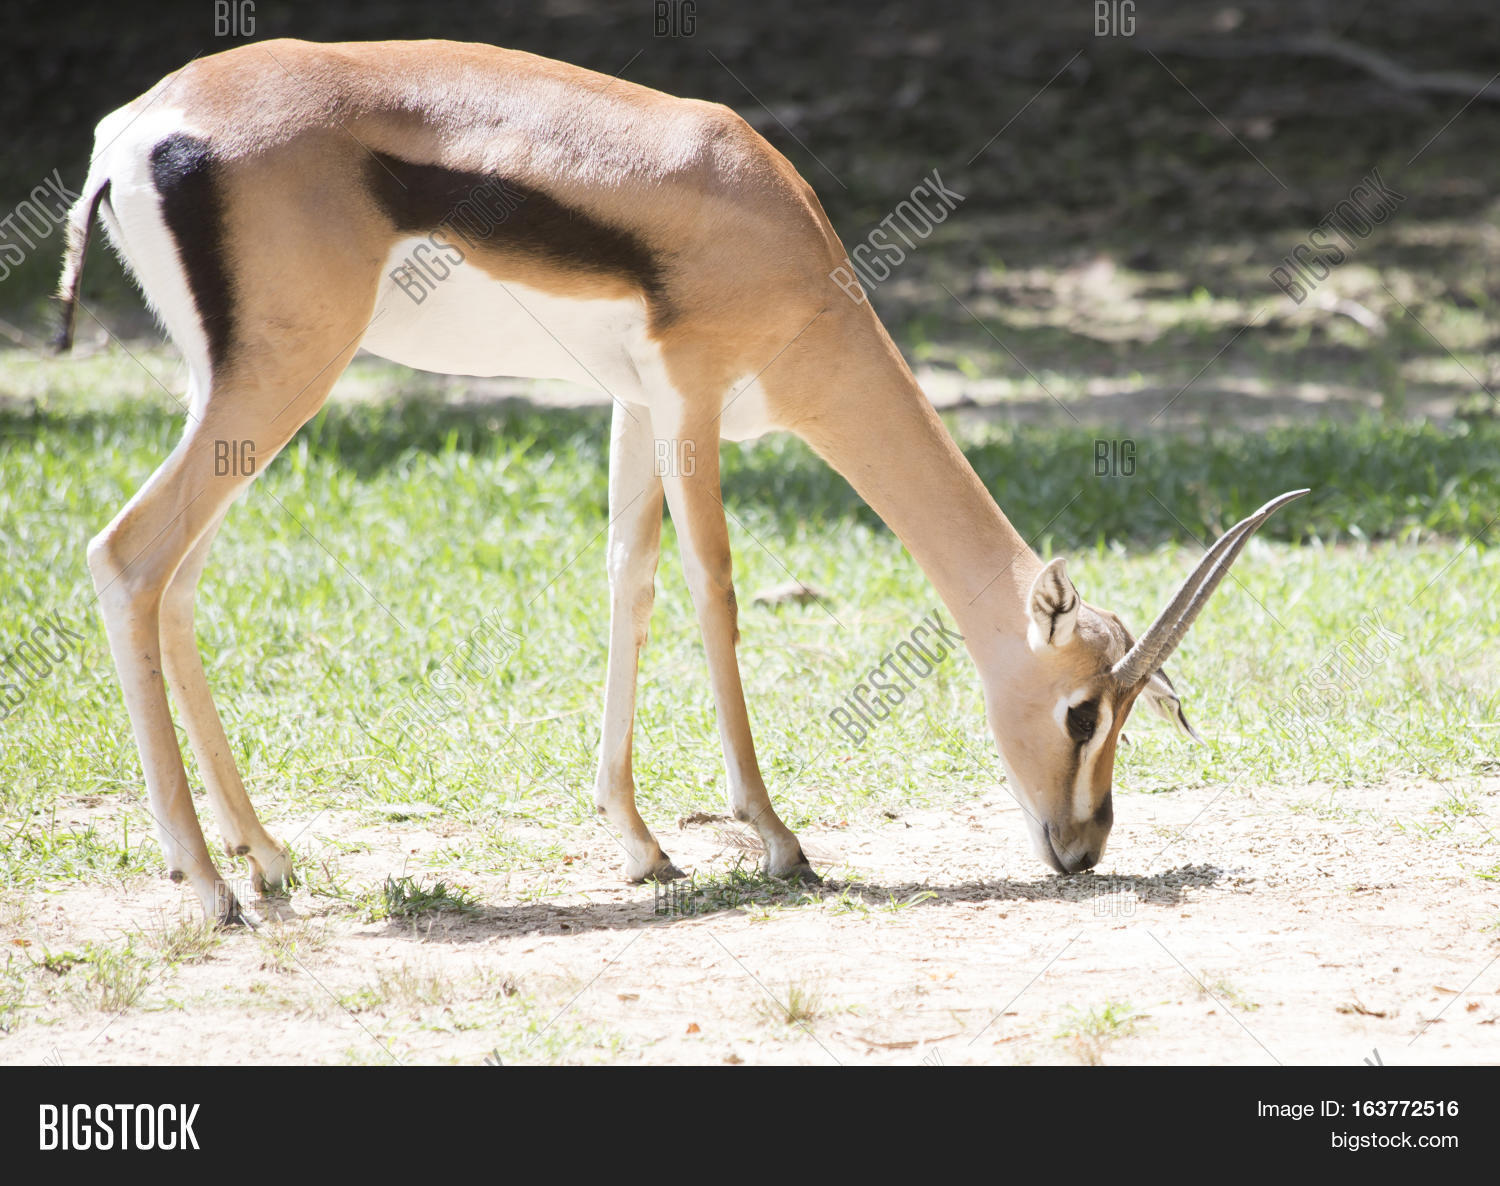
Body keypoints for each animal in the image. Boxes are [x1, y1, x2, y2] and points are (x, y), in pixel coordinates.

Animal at [55, 39, 1304, 923]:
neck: (773, 228)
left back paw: (265, 857)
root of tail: (135, 129)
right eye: (1082, 710)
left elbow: (630, 577)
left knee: (177, 581)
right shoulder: (695, 396)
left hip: (230, 399)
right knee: (125, 554)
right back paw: (209, 885)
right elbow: (715, 586)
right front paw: (779, 840)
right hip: (280, 381)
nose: (1082, 847)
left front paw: (643, 845)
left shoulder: (635, 405)